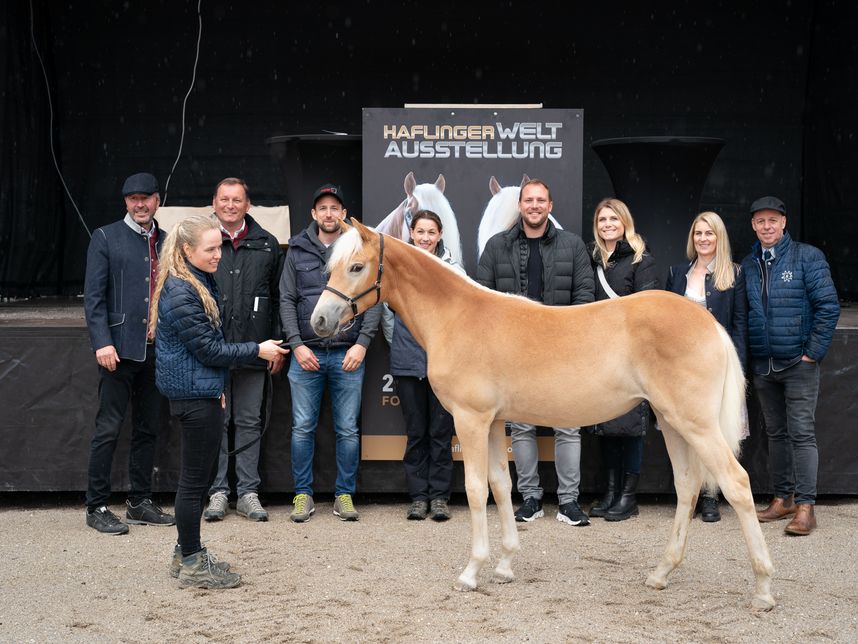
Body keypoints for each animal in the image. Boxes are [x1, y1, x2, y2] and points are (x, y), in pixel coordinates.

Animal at [310, 220, 776, 608]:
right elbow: (502, 485)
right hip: (672, 422)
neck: (458, 316)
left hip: (696, 424)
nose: (319, 321)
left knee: (737, 483)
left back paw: (763, 589)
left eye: (356, 267)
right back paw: (661, 573)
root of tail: (708, 322)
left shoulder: (471, 419)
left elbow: (476, 489)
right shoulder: (495, 422)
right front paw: (504, 565)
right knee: (687, 486)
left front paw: (471, 572)